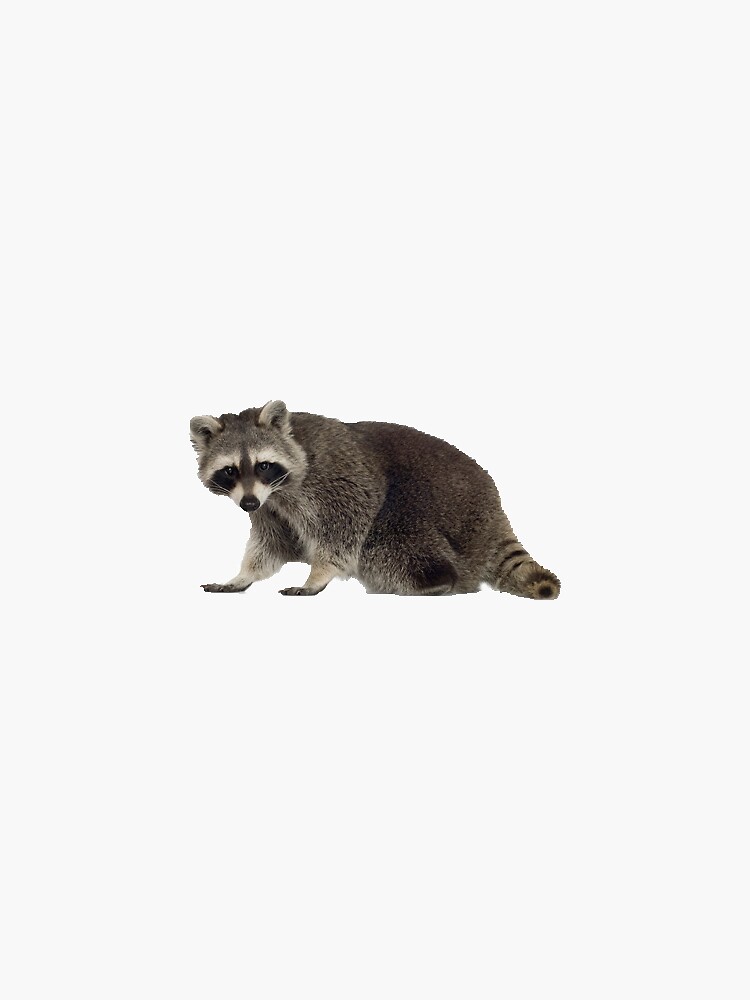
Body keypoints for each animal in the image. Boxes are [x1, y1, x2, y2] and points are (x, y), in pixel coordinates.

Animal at [190, 401, 560, 599]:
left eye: (263, 465)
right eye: (229, 471)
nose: (248, 505)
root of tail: (493, 510)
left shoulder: (337, 479)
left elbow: (345, 528)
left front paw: (317, 575)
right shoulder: (270, 507)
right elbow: (269, 544)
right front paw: (242, 576)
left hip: (438, 510)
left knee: (388, 540)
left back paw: (436, 580)